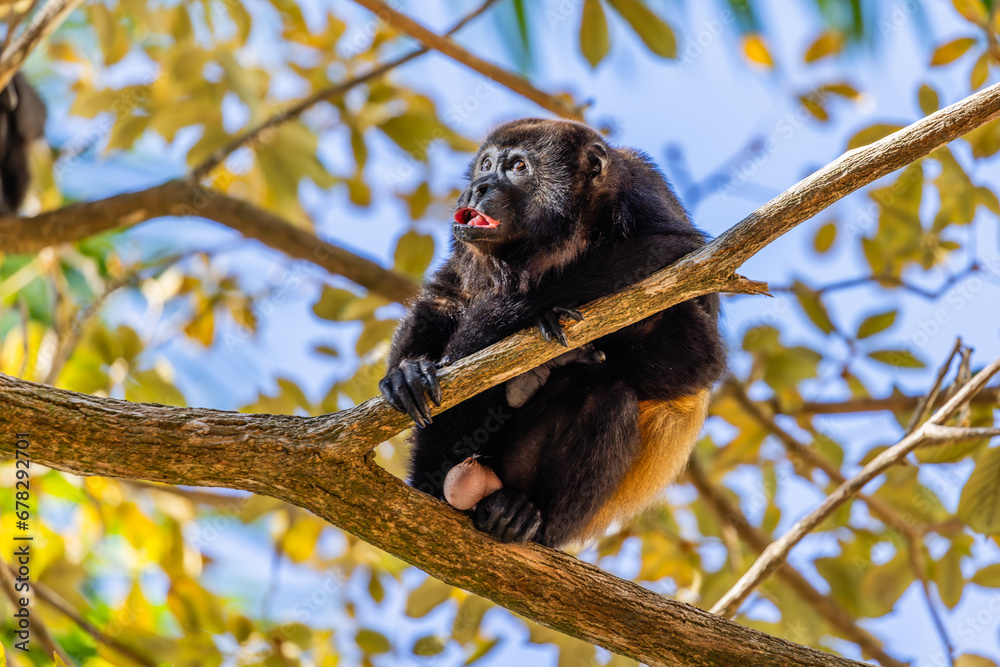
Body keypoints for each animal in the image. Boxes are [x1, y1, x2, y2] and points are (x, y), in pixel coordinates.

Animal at [380, 118, 724, 549]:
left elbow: (698, 358)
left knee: (609, 396)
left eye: (518, 167)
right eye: (486, 164)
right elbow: (443, 299)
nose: (479, 186)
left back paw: (526, 515)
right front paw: (405, 372)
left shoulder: (648, 203)